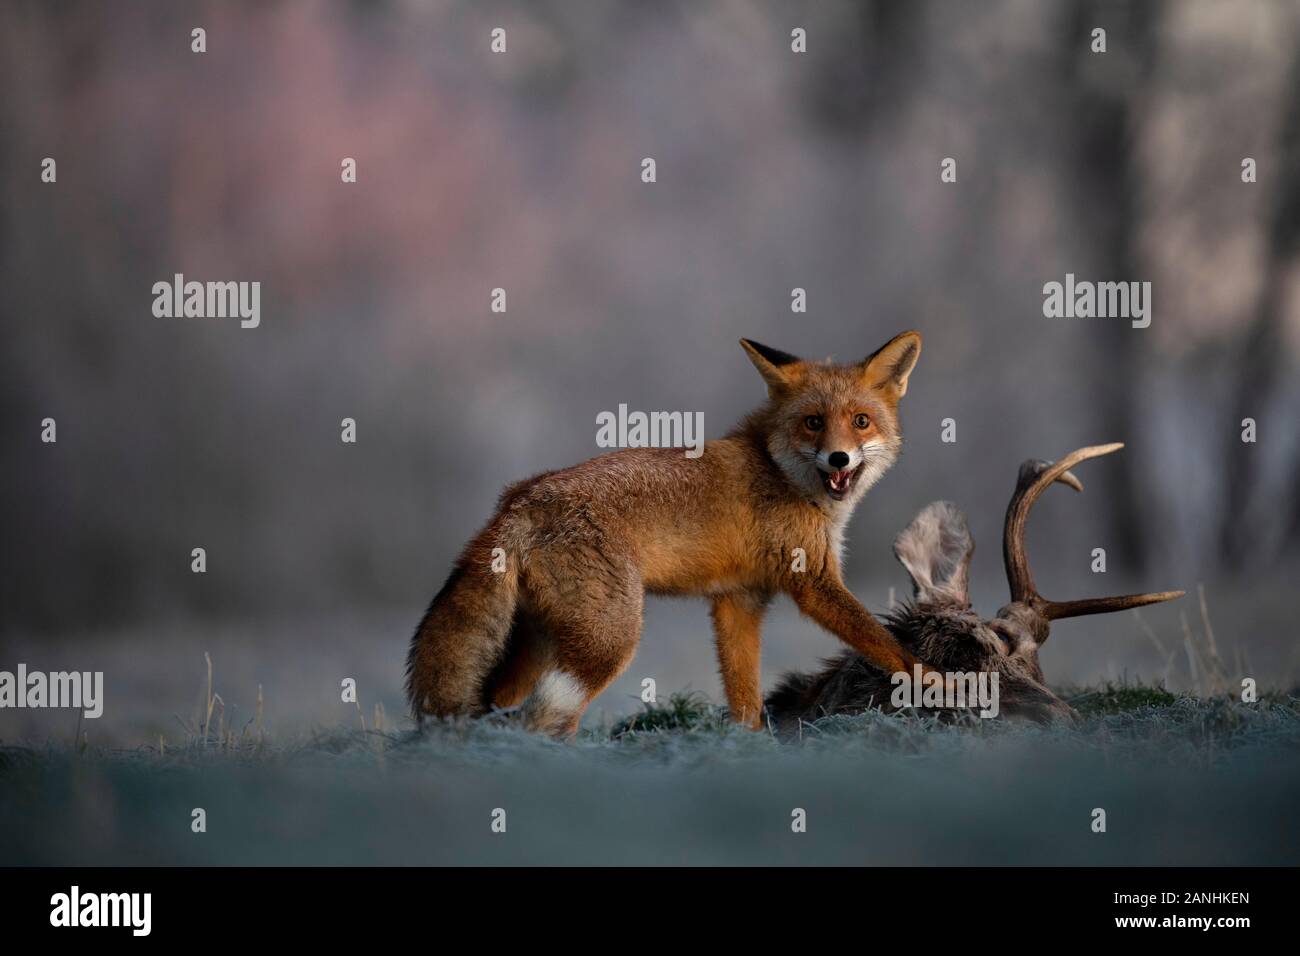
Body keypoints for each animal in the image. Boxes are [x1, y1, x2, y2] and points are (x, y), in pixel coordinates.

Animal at [406, 331, 931, 738]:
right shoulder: (813, 583)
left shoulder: (739, 601)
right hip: (608, 639)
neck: (777, 471)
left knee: (501, 705)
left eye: (860, 422)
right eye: (813, 423)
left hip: (544, 642)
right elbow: (888, 647)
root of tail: (518, 498)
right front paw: (937, 682)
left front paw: (746, 750)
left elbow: (745, 700)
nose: (839, 458)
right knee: (545, 719)